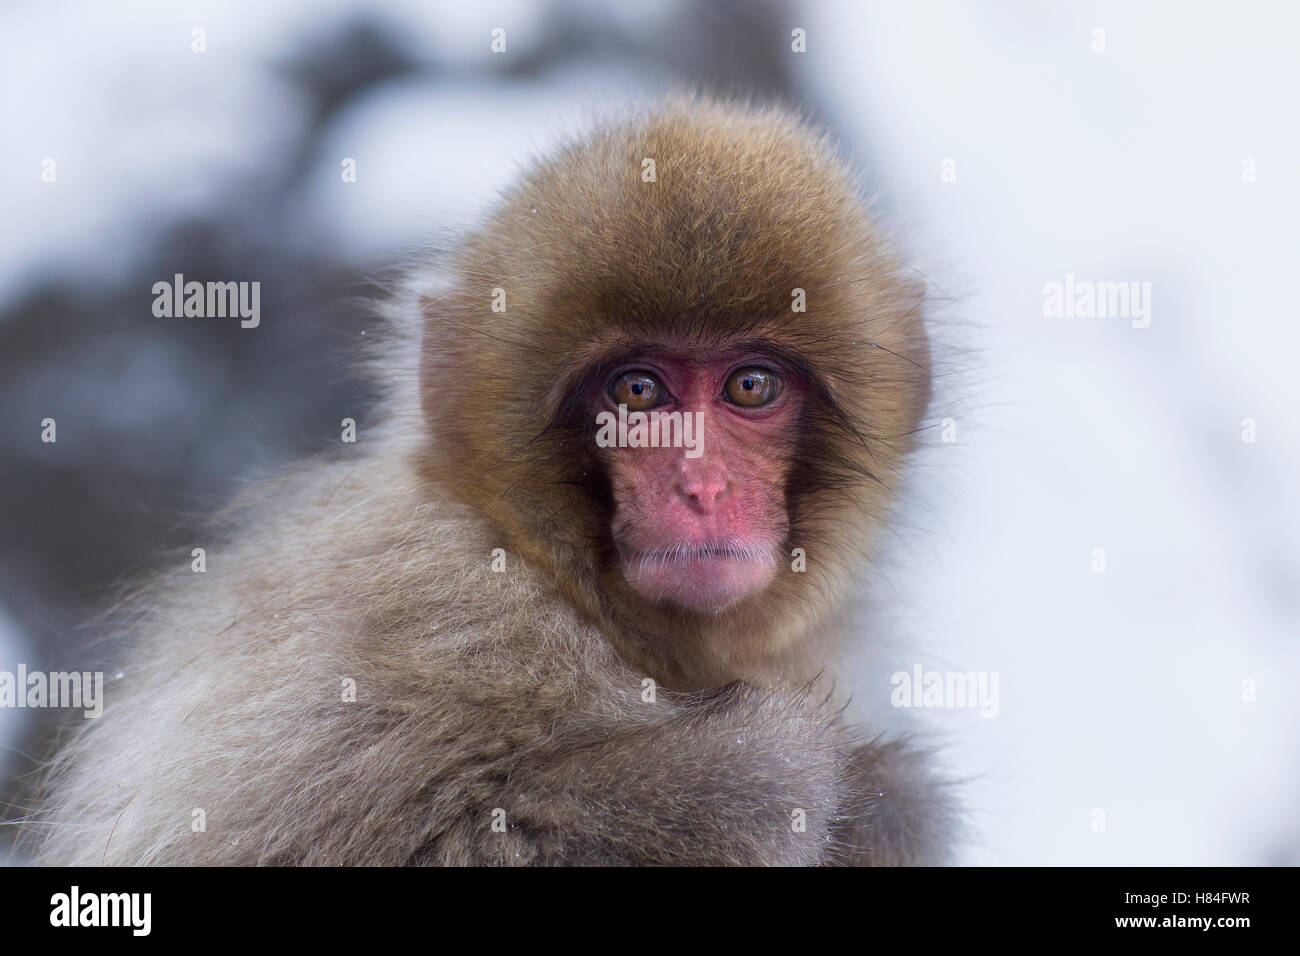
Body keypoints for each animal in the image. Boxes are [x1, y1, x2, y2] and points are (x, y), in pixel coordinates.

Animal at [19, 96, 953, 866]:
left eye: (750, 386)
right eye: (637, 390)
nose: (702, 491)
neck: (559, 576)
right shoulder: (444, 623)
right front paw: (819, 785)